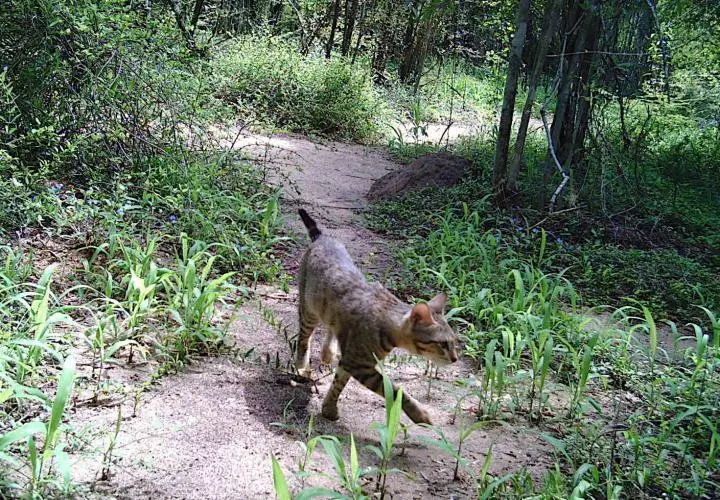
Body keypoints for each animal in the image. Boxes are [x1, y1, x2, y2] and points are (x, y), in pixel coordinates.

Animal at [296, 209, 458, 424]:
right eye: (442, 344)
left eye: (454, 342)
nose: (455, 359)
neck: (389, 323)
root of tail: (323, 237)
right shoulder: (359, 365)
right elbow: (396, 390)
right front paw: (419, 413)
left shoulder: (351, 361)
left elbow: (339, 383)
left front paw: (329, 407)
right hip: (309, 310)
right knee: (304, 338)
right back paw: (301, 365)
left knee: (330, 326)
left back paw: (327, 352)